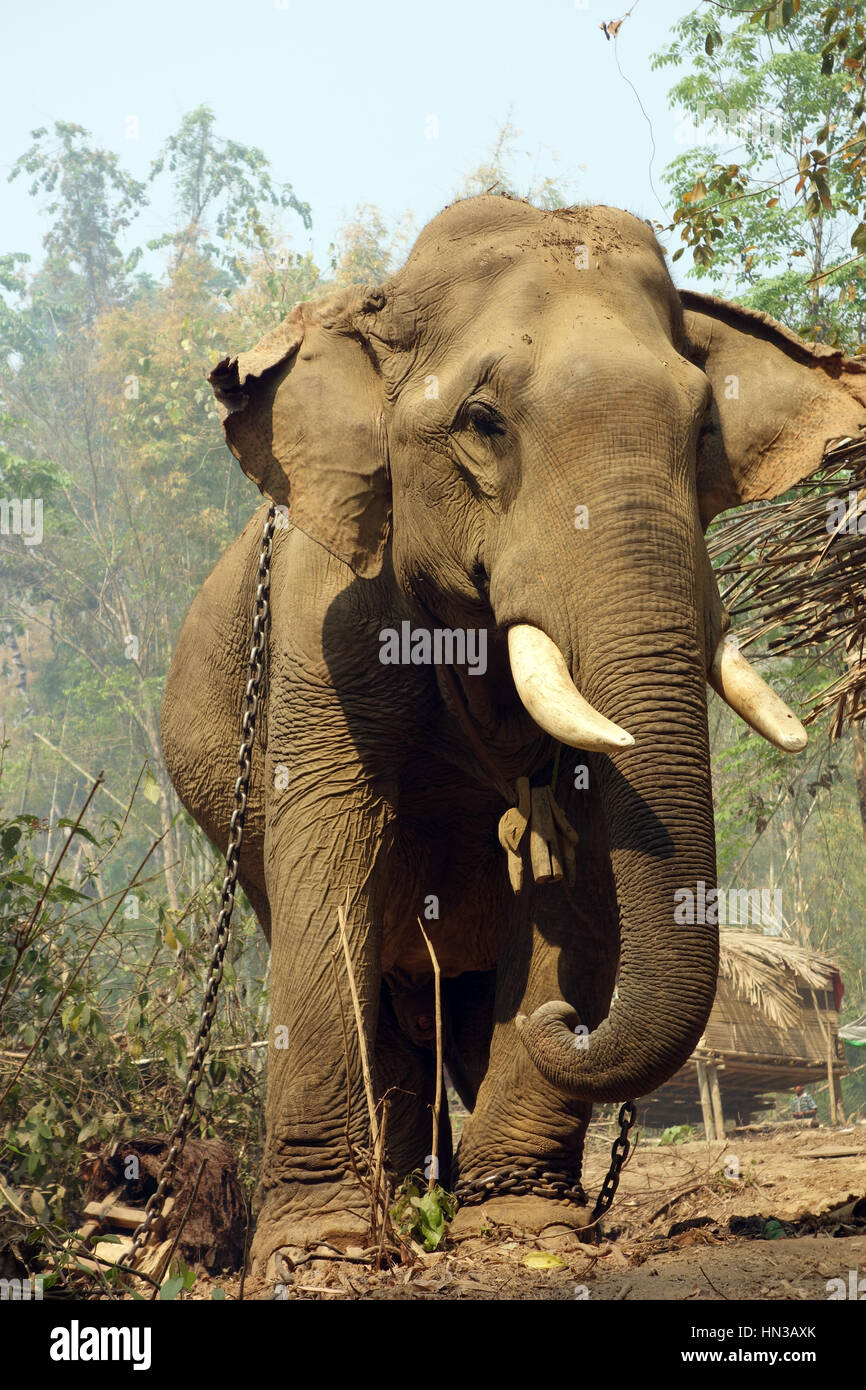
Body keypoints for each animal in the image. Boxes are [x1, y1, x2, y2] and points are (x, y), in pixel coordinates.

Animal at [161, 194, 866, 1275]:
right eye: (482, 423)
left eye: (703, 425)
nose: (566, 1021)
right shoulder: (321, 630)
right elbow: (333, 853)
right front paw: (321, 1253)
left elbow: (575, 859)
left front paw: (522, 1225)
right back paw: (400, 1192)